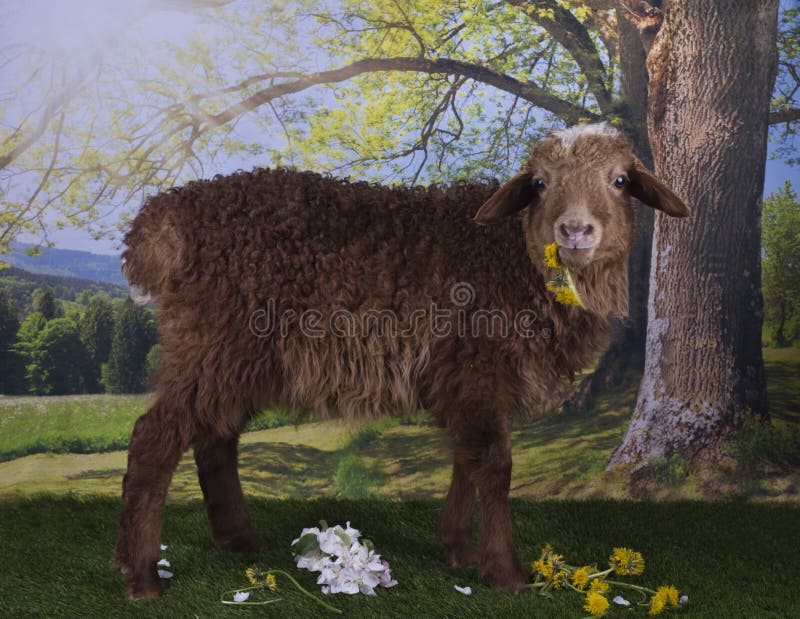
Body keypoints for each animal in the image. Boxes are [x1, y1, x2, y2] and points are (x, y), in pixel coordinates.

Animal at [113, 122, 689, 599]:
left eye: (620, 180)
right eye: (541, 184)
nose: (574, 231)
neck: (512, 259)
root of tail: (159, 223)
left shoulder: (461, 378)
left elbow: (467, 459)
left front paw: (459, 548)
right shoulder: (476, 366)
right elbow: (495, 466)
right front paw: (505, 571)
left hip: (236, 358)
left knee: (216, 438)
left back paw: (237, 539)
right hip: (214, 341)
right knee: (154, 438)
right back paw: (140, 575)